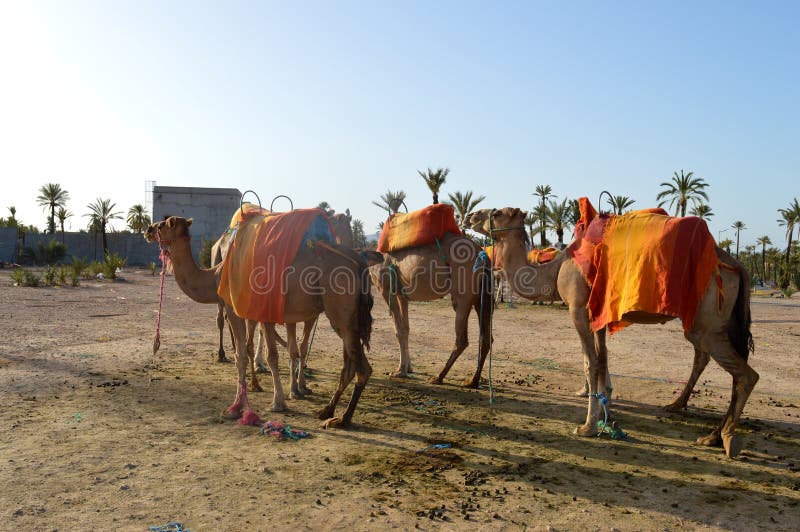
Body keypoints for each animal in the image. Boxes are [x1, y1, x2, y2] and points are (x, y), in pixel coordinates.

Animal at [145, 216, 373, 427]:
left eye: (162, 224)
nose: (148, 229)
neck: (216, 276)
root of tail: (360, 265)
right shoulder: (261, 314)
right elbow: (264, 352)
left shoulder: (235, 310)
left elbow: (245, 356)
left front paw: (244, 406)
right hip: (348, 320)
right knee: (350, 366)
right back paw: (326, 411)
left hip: (340, 313)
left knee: (363, 369)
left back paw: (342, 419)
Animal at [368, 232, 493, 387]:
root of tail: (482, 254)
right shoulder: (402, 295)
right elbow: (406, 329)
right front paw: (408, 368)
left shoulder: (385, 289)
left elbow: (399, 331)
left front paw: (399, 371)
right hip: (482, 297)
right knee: (486, 338)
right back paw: (472, 381)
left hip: (463, 295)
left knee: (462, 338)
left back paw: (439, 377)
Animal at [465, 208, 758, 458]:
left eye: (496, 212)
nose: (469, 215)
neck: (555, 269)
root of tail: (739, 266)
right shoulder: (599, 317)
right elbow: (602, 359)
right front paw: (607, 414)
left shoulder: (578, 309)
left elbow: (591, 362)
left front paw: (587, 426)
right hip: (716, 321)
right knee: (716, 360)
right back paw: (703, 428)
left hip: (707, 321)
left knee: (744, 373)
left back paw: (723, 437)